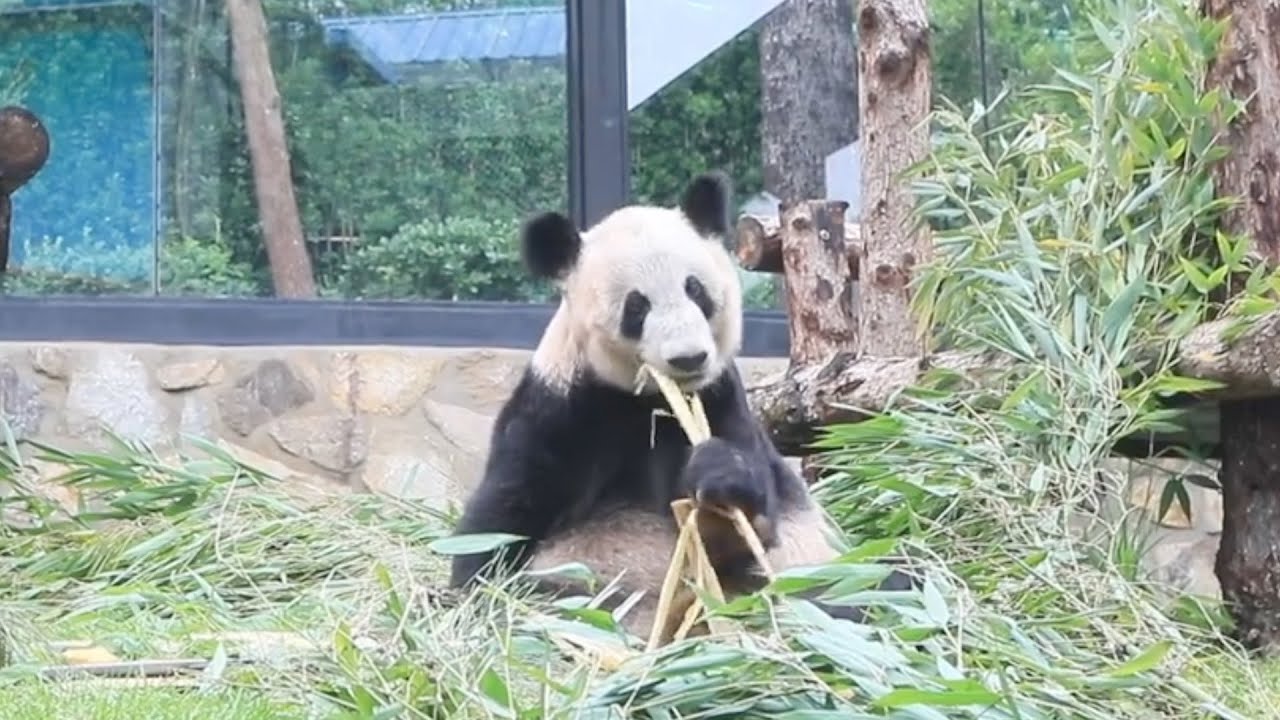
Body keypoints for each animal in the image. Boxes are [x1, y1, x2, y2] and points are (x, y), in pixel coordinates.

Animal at [447, 170, 913, 639]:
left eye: (695, 289)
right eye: (636, 306)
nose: (689, 358)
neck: (647, 399)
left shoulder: (721, 401)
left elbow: (750, 527)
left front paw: (718, 479)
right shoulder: (562, 411)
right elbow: (501, 524)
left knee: (871, 585)